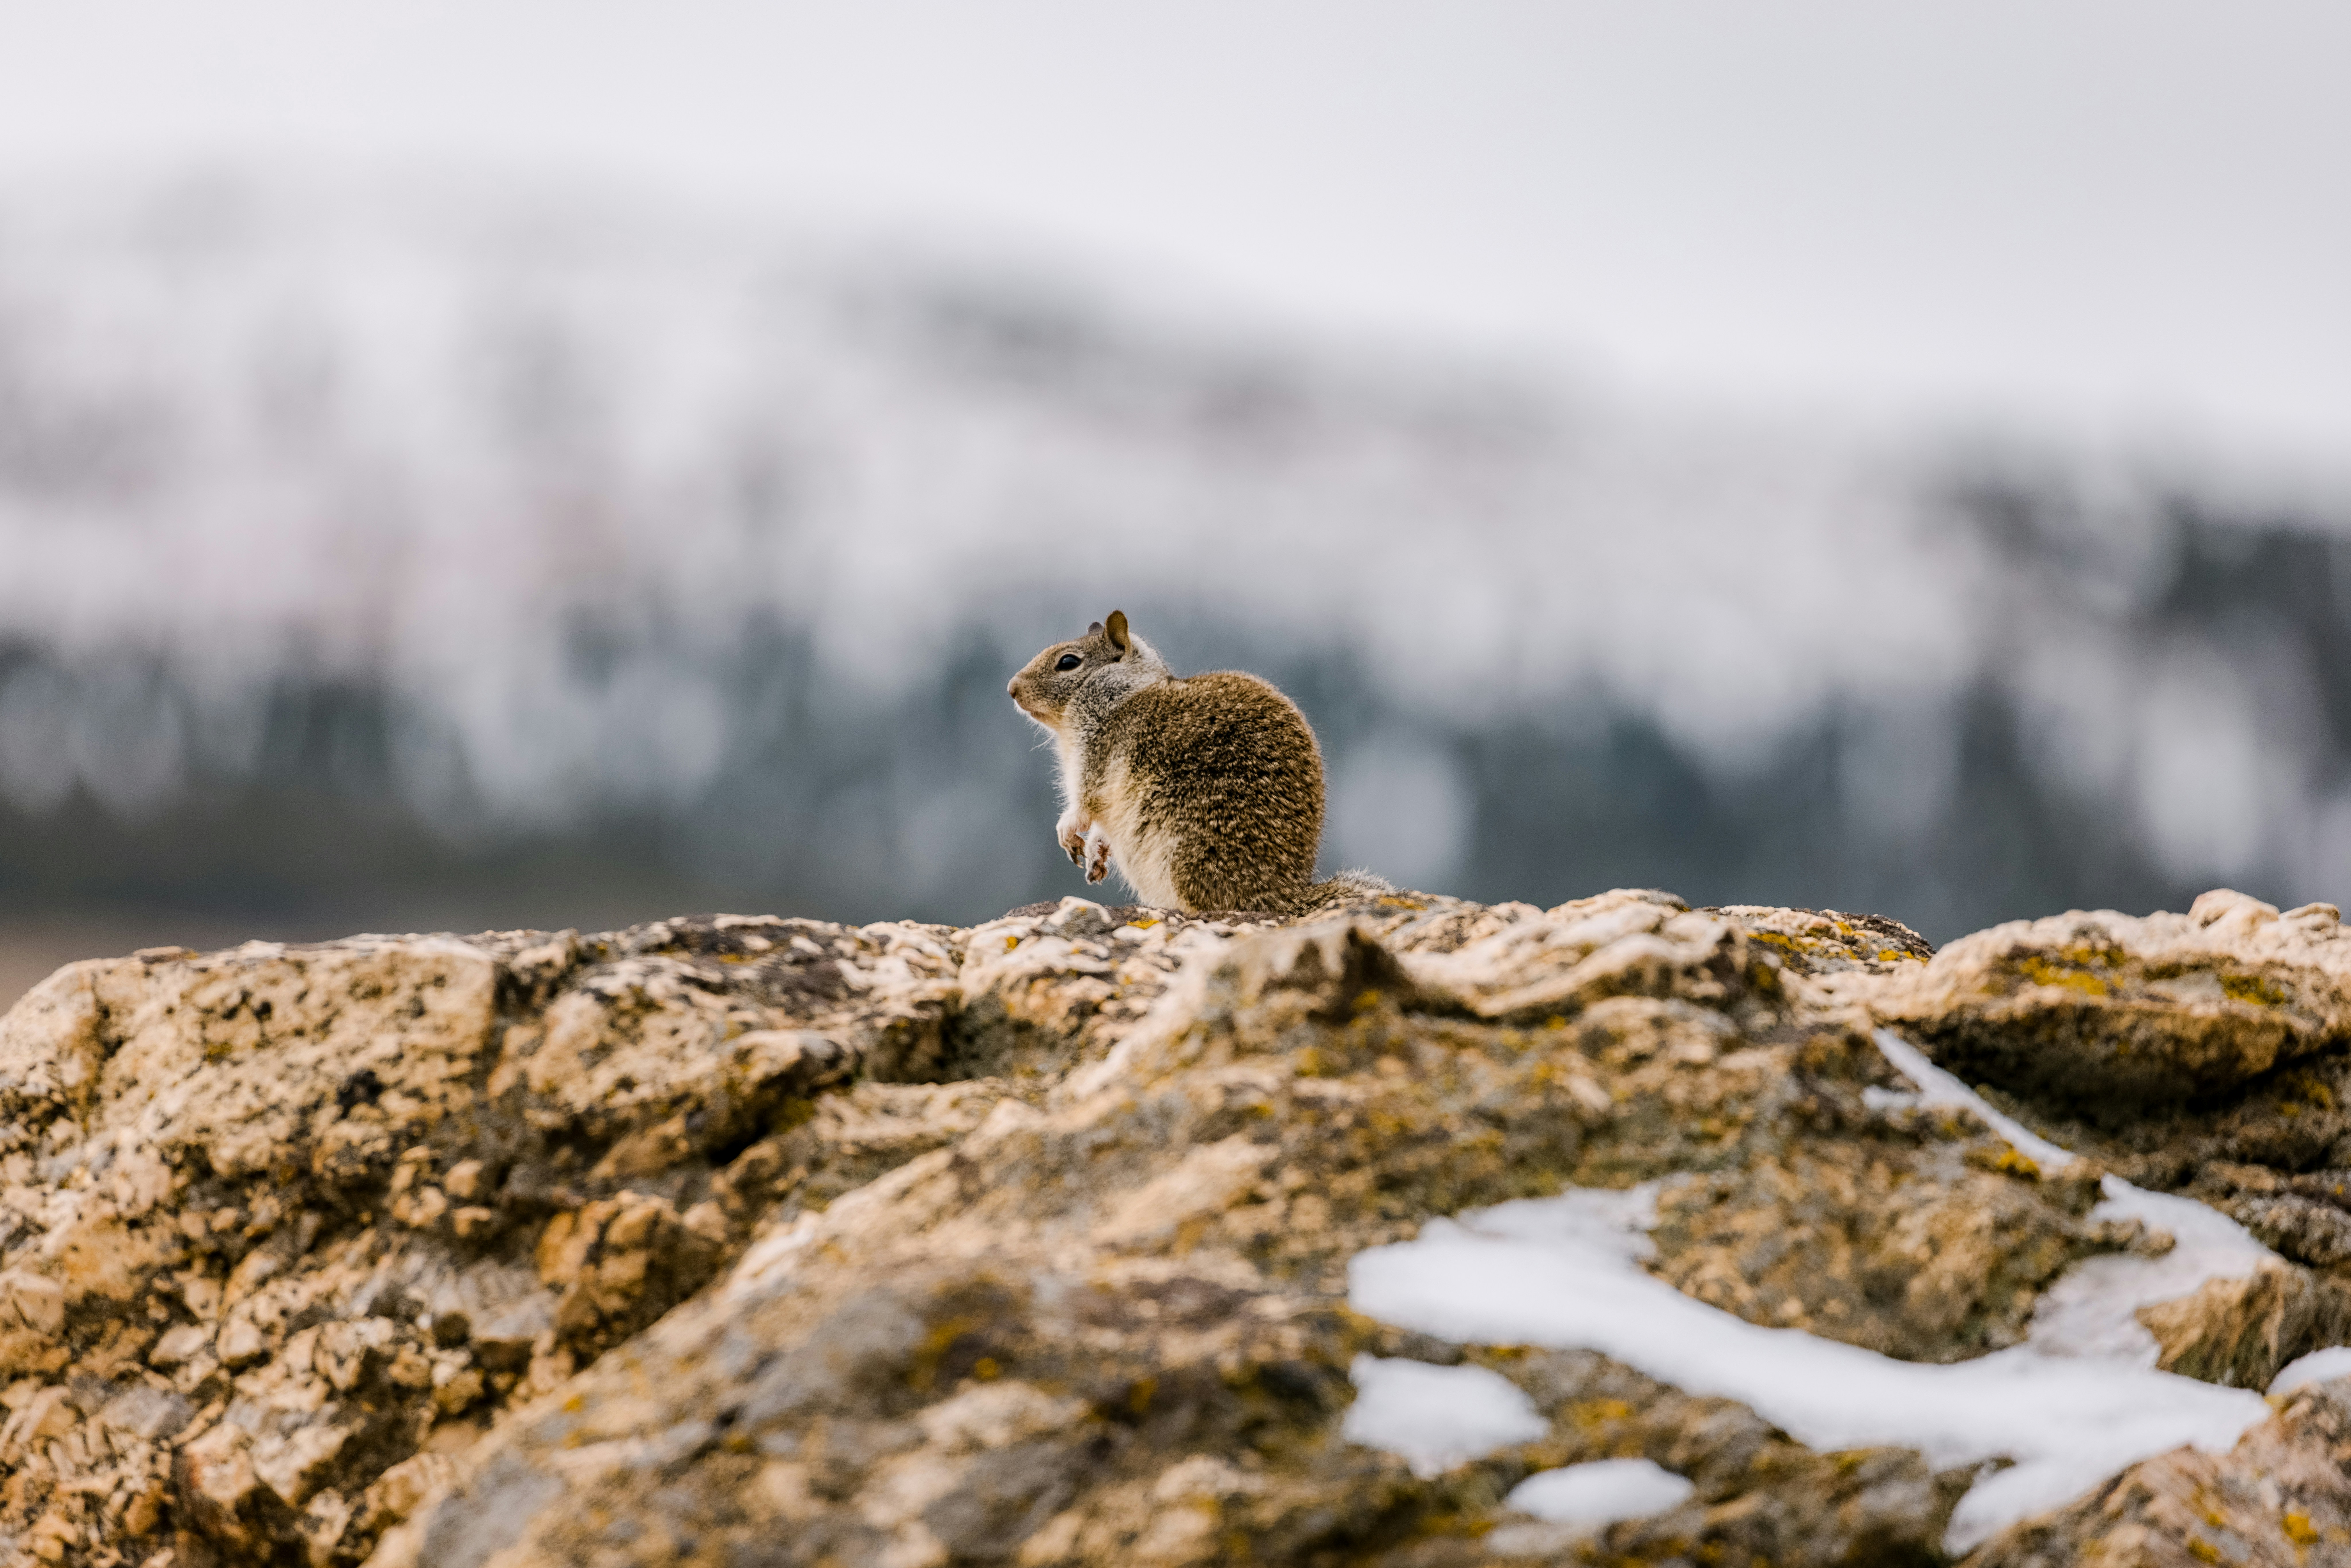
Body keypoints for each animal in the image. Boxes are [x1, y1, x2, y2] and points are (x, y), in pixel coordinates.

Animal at [1007, 610, 1390, 915]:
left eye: (1068, 662)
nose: (1011, 688)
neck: (1123, 692)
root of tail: (1286, 896)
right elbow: (1100, 824)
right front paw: (1095, 853)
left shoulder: (1093, 760)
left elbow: (1084, 806)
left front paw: (1067, 832)